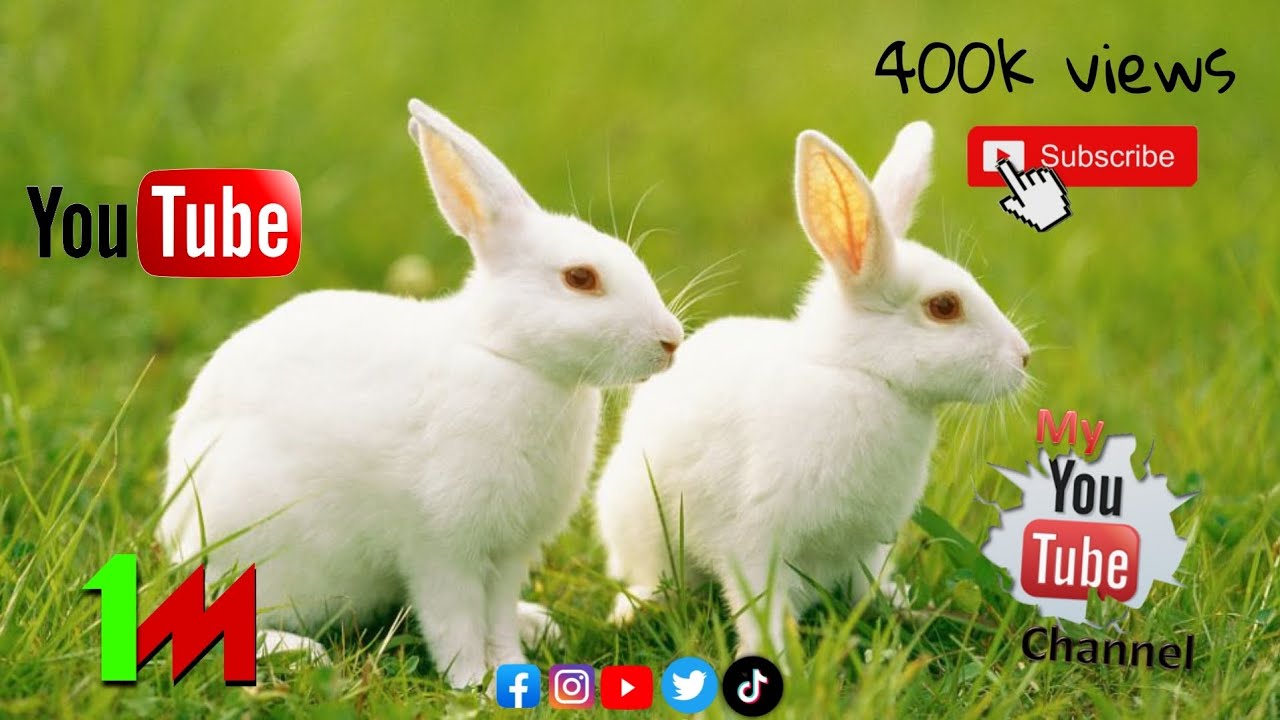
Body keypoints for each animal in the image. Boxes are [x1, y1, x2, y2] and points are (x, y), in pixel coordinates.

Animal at [157, 99, 684, 689]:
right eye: (580, 278)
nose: (671, 341)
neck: (508, 357)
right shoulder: (440, 548)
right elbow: (454, 622)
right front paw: (472, 684)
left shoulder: (508, 553)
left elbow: (497, 617)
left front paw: (513, 671)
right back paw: (301, 652)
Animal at [594, 123, 1030, 658]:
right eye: (944, 307)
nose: (1023, 357)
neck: (859, 375)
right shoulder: (756, 543)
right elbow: (760, 609)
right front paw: (773, 658)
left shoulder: (867, 545)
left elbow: (866, 586)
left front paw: (896, 610)